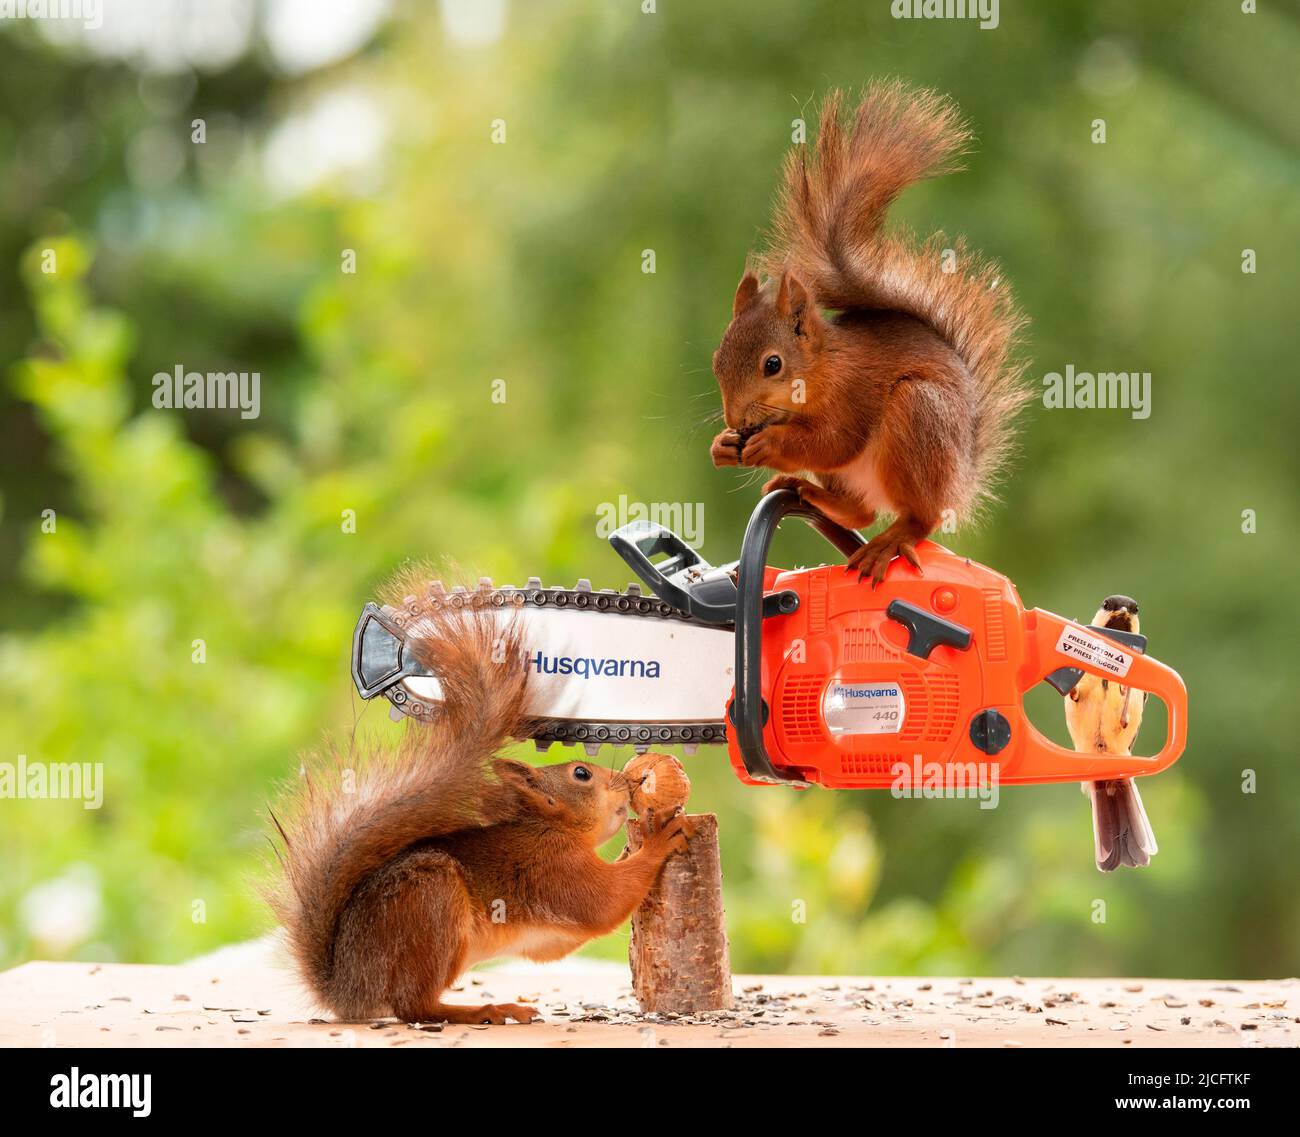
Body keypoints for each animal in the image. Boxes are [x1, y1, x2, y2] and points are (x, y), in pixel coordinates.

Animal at [267, 578, 688, 1026]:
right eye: (581, 774)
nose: (628, 780)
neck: (552, 826)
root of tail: (348, 989)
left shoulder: (548, 931)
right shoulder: (551, 867)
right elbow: (604, 904)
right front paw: (657, 841)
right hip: (431, 902)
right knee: (415, 1006)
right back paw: (485, 1009)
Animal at [709, 81, 1031, 583]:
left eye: (773, 364)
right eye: (716, 362)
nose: (735, 420)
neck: (821, 369)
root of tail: (960, 477)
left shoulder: (854, 393)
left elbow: (834, 441)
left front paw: (770, 443)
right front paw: (723, 445)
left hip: (918, 416)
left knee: (920, 516)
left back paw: (891, 541)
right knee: (860, 511)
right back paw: (806, 489)